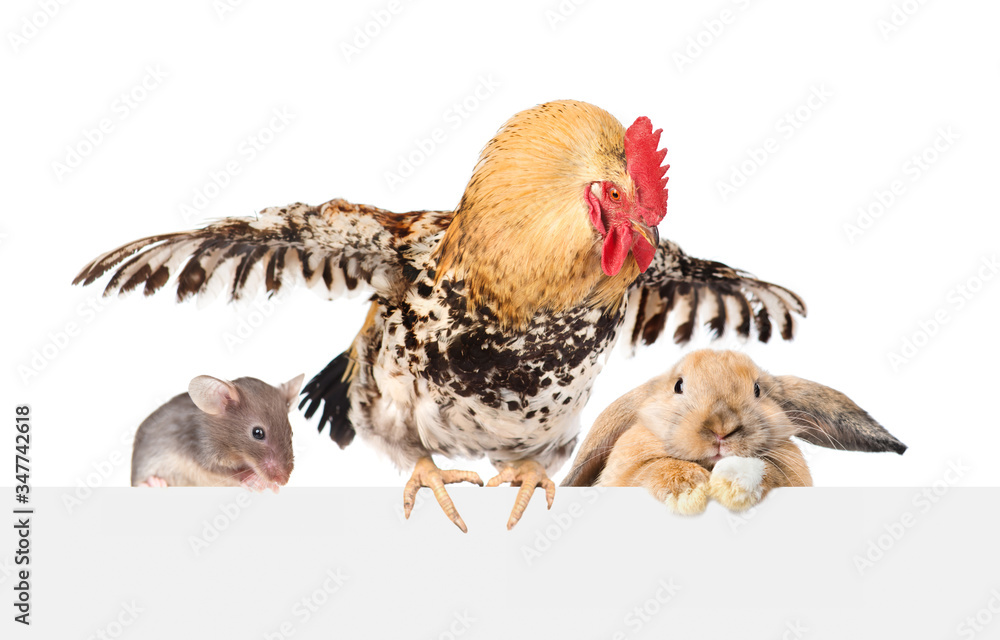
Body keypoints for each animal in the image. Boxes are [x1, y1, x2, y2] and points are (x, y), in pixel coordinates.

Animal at [561, 350, 906, 513]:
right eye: (678, 385)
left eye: (757, 389)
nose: (721, 429)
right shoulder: (627, 470)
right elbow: (653, 467)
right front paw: (690, 491)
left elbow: (768, 471)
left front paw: (733, 484)